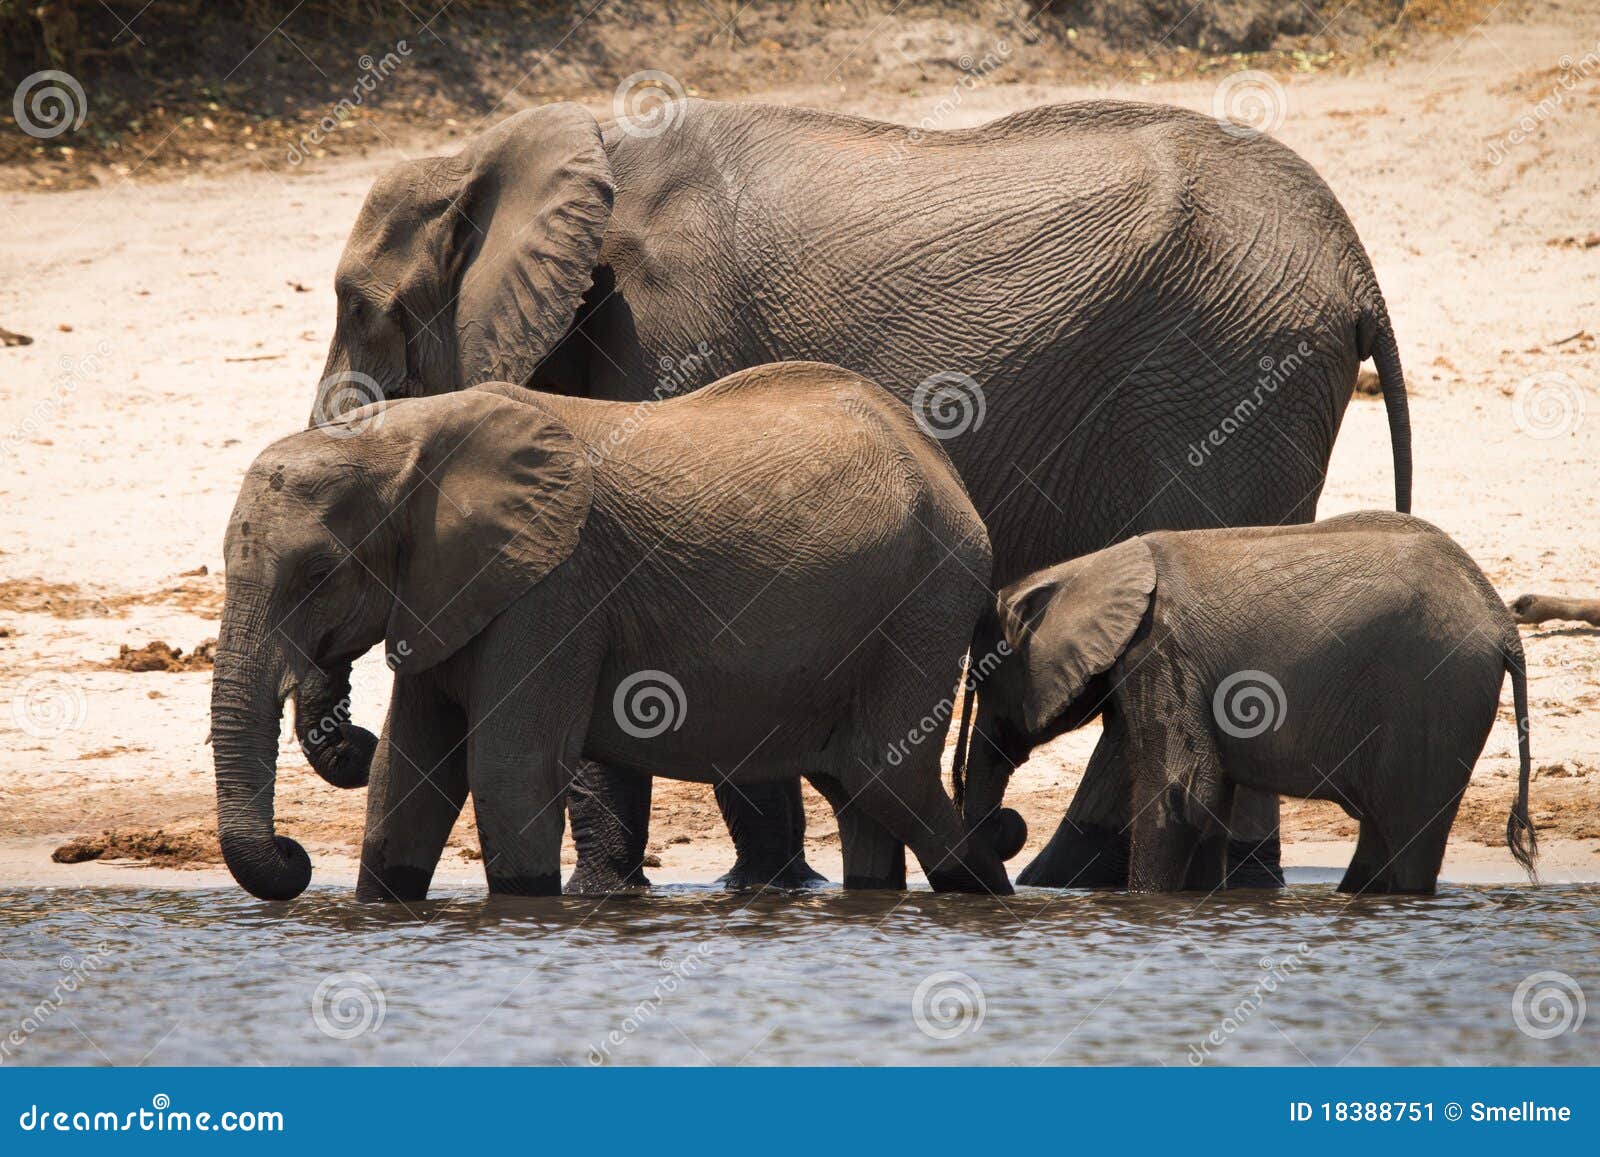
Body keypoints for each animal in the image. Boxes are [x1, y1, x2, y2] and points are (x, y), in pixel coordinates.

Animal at [211, 364, 1012, 902]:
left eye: (319, 574)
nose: (295, 853)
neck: (403, 434)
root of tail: (942, 465)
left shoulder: (553, 586)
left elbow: (509, 768)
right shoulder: (455, 588)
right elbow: (406, 777)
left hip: (927, 595)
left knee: (885, 771)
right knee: (854, 787)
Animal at [310, 97, 1413, 892]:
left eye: (361, 307)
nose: (349, 741)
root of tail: (1359, 271)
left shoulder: (661, 335)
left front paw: (629, 897)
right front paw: (757, 887)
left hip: (1227, 381)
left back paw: (1069, 878)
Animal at [956, 511, 1536, 894]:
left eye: (982, 682)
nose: (1005, 823)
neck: (1088, 567)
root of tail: (1503, 621)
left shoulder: (1157, 650)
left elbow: (1180, 791)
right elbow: (1208, 800)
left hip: (1434, 697)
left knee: (1408, 836)